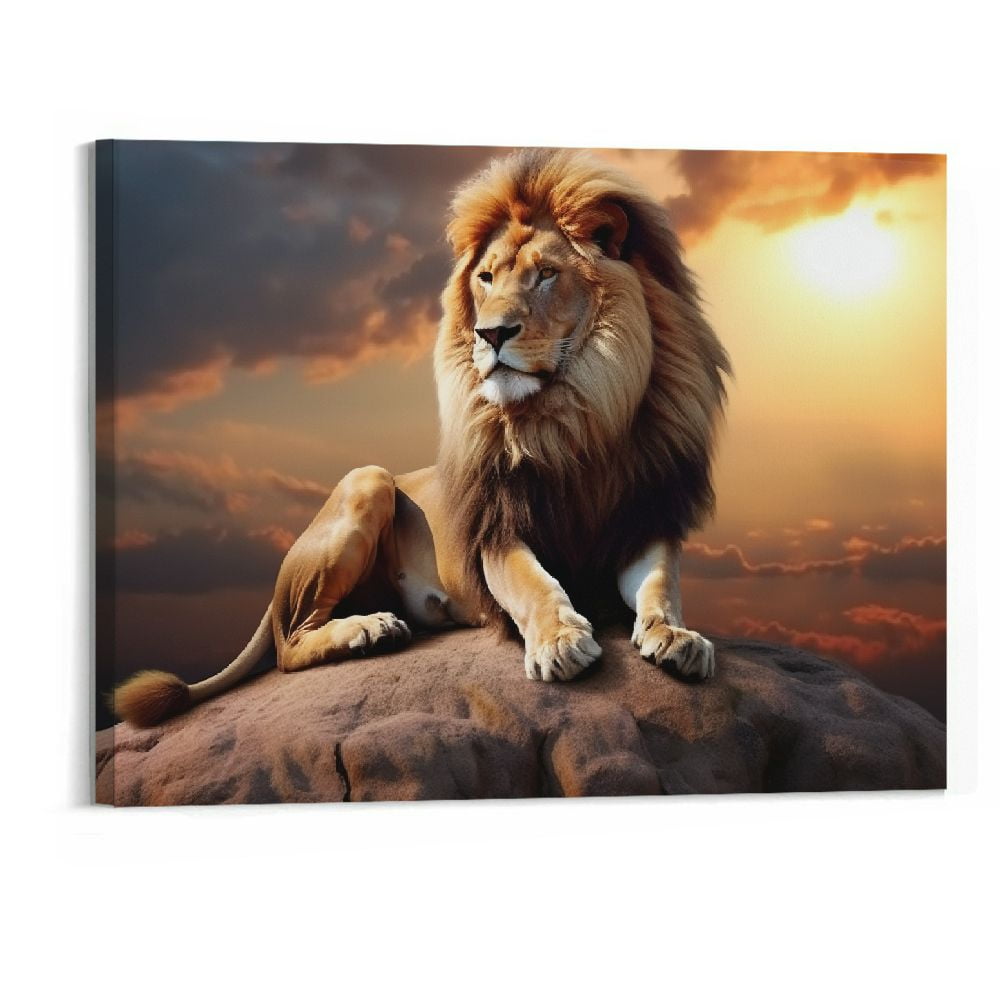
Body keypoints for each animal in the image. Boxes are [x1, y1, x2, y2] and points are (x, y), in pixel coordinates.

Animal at [113, 148, 731, 728]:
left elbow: (660, 584)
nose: (490, 333)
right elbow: (534, 585)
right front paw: (559, 640)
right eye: (486, 278)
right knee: (289, 647)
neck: (575, 416)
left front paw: (677, 637)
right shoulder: (496, 533)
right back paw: (369, 629)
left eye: (545, 275)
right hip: (366, 482)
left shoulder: (645, 514)